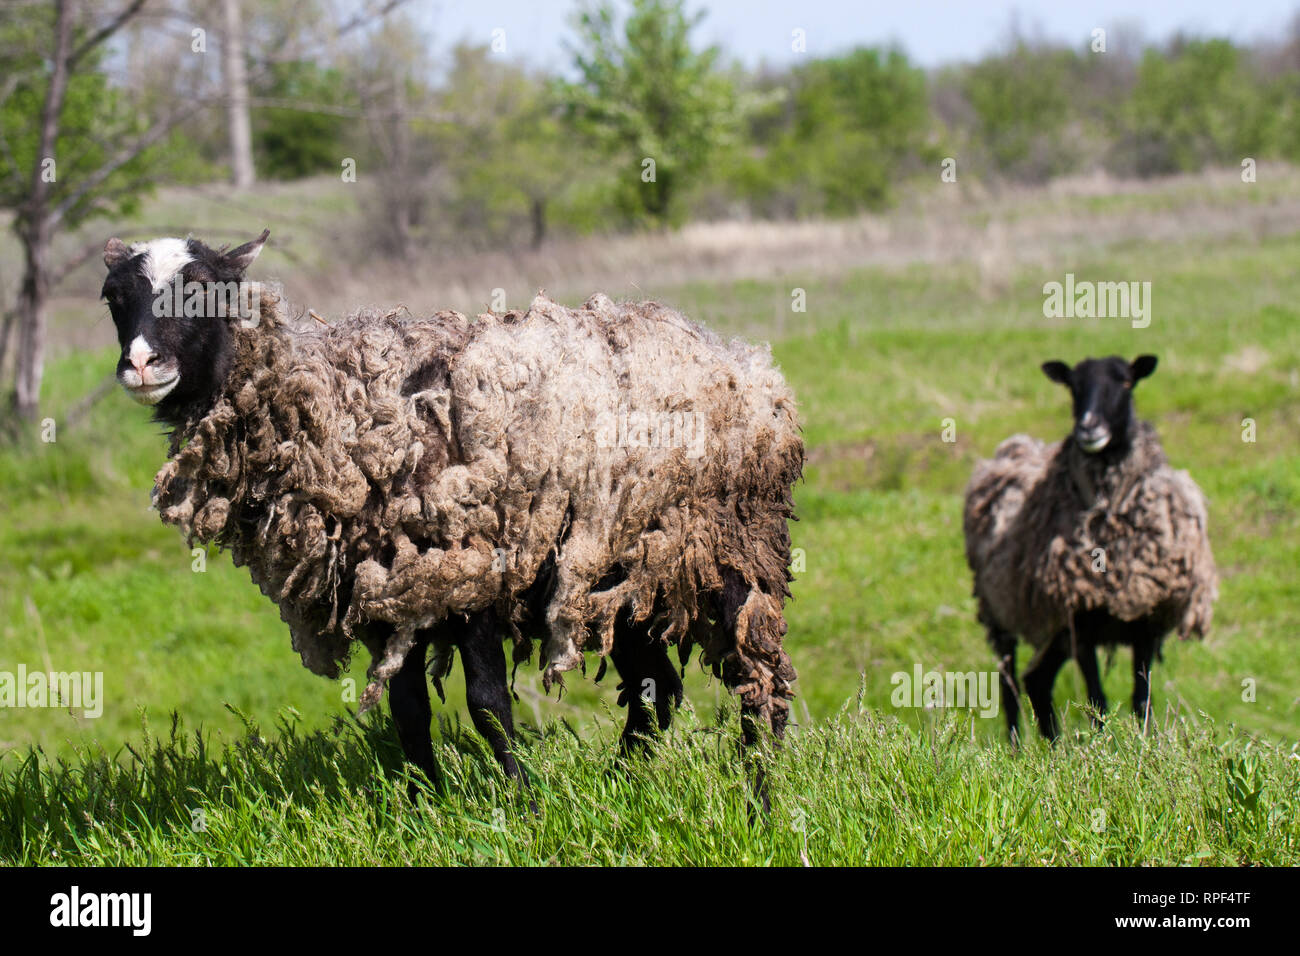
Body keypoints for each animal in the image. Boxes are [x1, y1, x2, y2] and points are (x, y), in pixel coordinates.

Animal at [101, 230, 802, 801]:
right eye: (114, 299)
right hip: (623, 577)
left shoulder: (470, 575)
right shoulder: (385, 594)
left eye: (203, 289)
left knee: (757, 679)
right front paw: (420, 805)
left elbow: (487, 702)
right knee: (657, 688)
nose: (139, 364)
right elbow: (408, 708)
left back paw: (759, 799)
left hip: (729, 548)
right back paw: (621, 785)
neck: (340, 409)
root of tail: (744, 364)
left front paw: (524, 804)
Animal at [963, 355, 1217, 741]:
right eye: (1073, 386)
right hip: (999, 613)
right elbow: (1097, 700)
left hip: (1055, 633)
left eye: (1126, 381)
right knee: (1010, 686)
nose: (1088, 429)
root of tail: (1007, 452)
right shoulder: (1080, 620)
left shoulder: (1146, 621)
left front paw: (1141, 744)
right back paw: (1017, 746)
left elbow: (1141, 700)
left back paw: (1053, 747)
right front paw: (1102, 748)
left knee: (1037, 680)